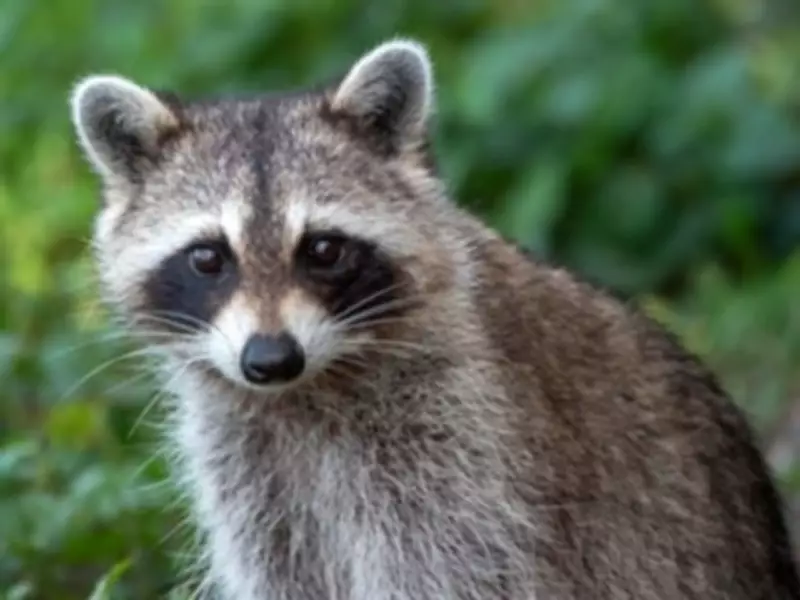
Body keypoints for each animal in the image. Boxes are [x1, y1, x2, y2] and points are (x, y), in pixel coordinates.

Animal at [69, 39, 799, 600]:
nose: (270, 359)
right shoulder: (250, 470)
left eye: (323, 250)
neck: (310, 390)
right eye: (208, 258)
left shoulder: (468, 441)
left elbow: (454, 570)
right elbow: (281, 572)